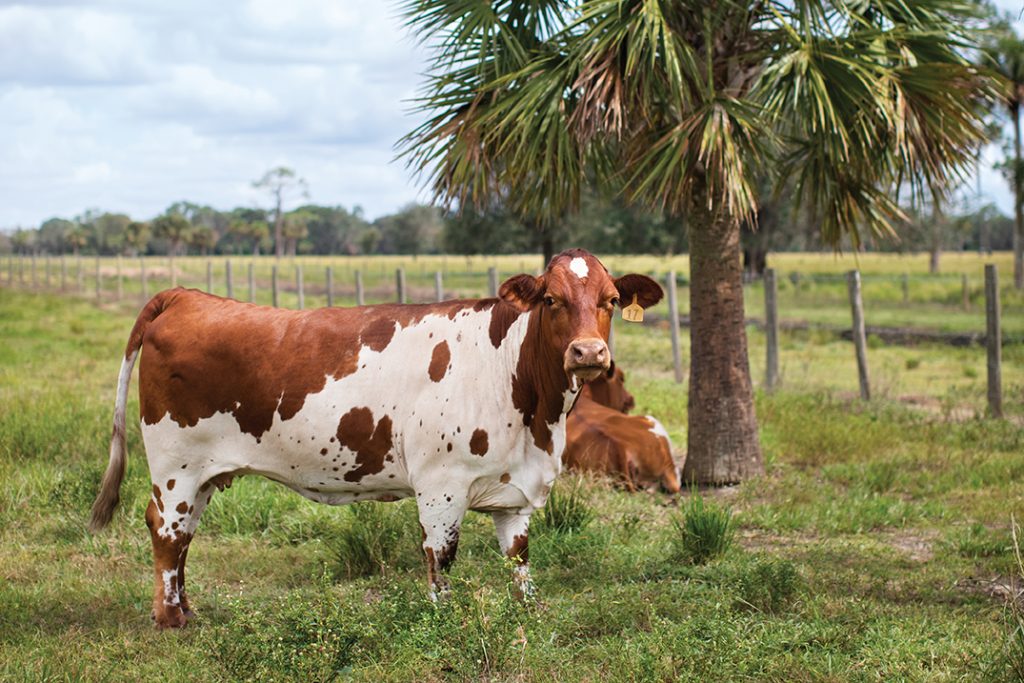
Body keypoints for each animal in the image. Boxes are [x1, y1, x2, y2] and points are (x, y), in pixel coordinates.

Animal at [88, 249, 662, 628]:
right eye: (551, 298)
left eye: (611, 300)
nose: (588, 353)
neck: (532, 408)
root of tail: (185, 296)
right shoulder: (440, 486)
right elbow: (440, 558)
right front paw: (442, 622)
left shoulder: (515, 490)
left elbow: (519, 559)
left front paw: (527, 614)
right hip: (176, 465)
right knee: (167, 531)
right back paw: (171, 619)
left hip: (206, 473)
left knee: (185, 536)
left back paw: (188, 608)